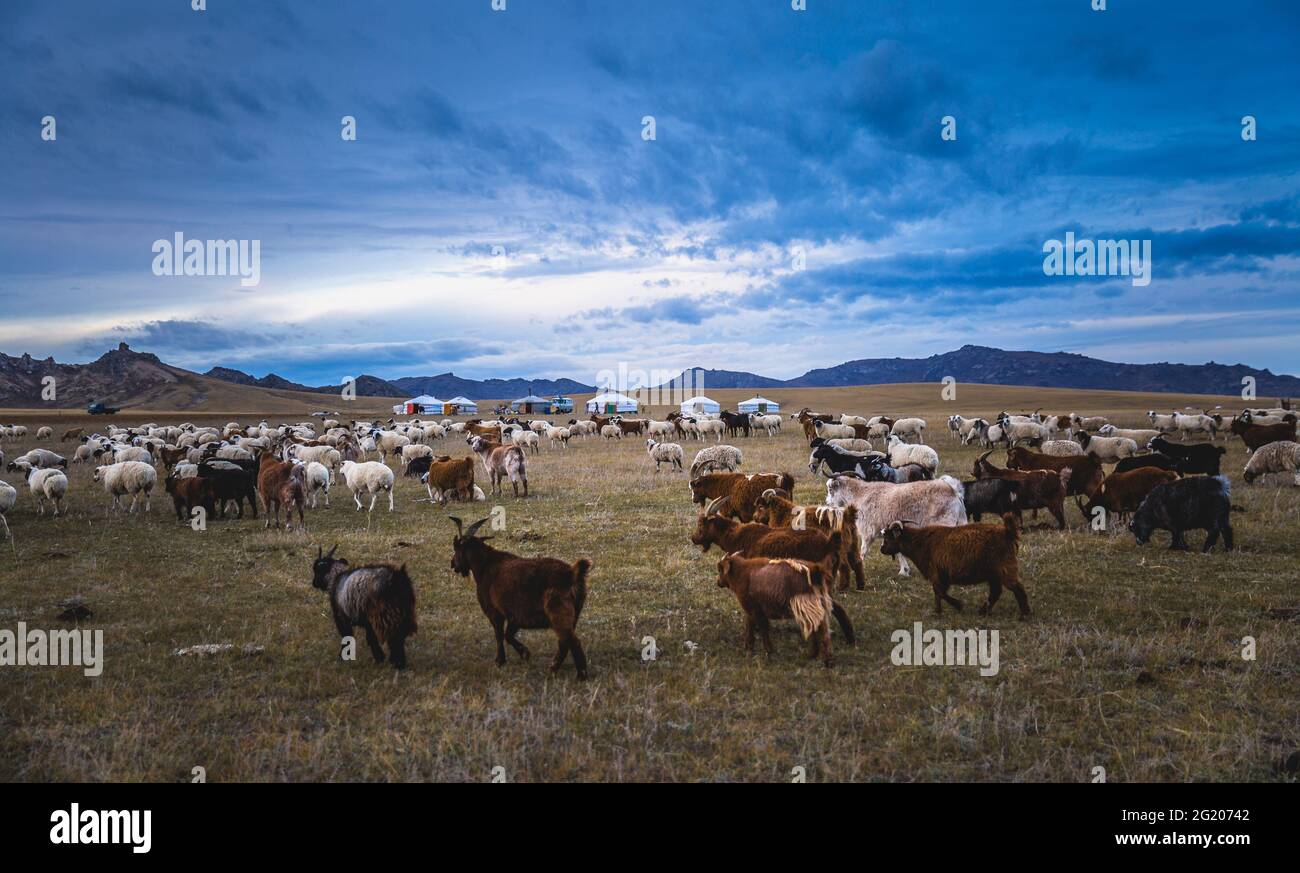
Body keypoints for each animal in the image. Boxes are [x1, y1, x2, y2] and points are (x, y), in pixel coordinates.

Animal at [449, 515, 591, 679]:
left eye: (456, 547)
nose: (453, 564)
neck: (485, 565)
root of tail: (573, 573)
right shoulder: (514, 617)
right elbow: (508, 635)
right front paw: (525, 653)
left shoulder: (494, 612)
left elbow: (499, 635)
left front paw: (500, 660)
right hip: (574, 614)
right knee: (565, 642)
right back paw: (558, 669)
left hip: (558, 613)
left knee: (570, 641)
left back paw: (575, 674)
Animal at [715, 553, 851, 667]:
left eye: (720, 569)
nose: (718, 582)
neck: (742, 573)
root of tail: (815, 571)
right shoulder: (755, 611)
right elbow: (753, 627)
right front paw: (751, 648)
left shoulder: (754, 609)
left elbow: (760, 629)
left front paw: (764, 650)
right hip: (818, 607)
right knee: (821, 631)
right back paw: (817, 656)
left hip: (806, 607)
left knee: (819, 632)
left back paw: (824, 660)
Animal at [824, 474, 967, 575]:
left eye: (831, 489)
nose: (827, 503)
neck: (860, 495)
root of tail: (953, 490)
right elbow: (899, 551)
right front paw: (904, 571)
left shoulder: (868, 530)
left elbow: (863, 551)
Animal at [879, 514, 1029, 620]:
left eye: (888, 537)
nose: (882, 549)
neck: (920, 541)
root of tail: (1008, 532)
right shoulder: (940, 575)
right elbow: (938, 593)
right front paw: (938, 611)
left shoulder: (938, 574)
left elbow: (940, 592)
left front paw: (958, 605)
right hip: (994, 573)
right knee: (996, 592)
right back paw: (983, 611)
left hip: (1005, 568)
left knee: (1018, 589)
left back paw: (1024, 614)